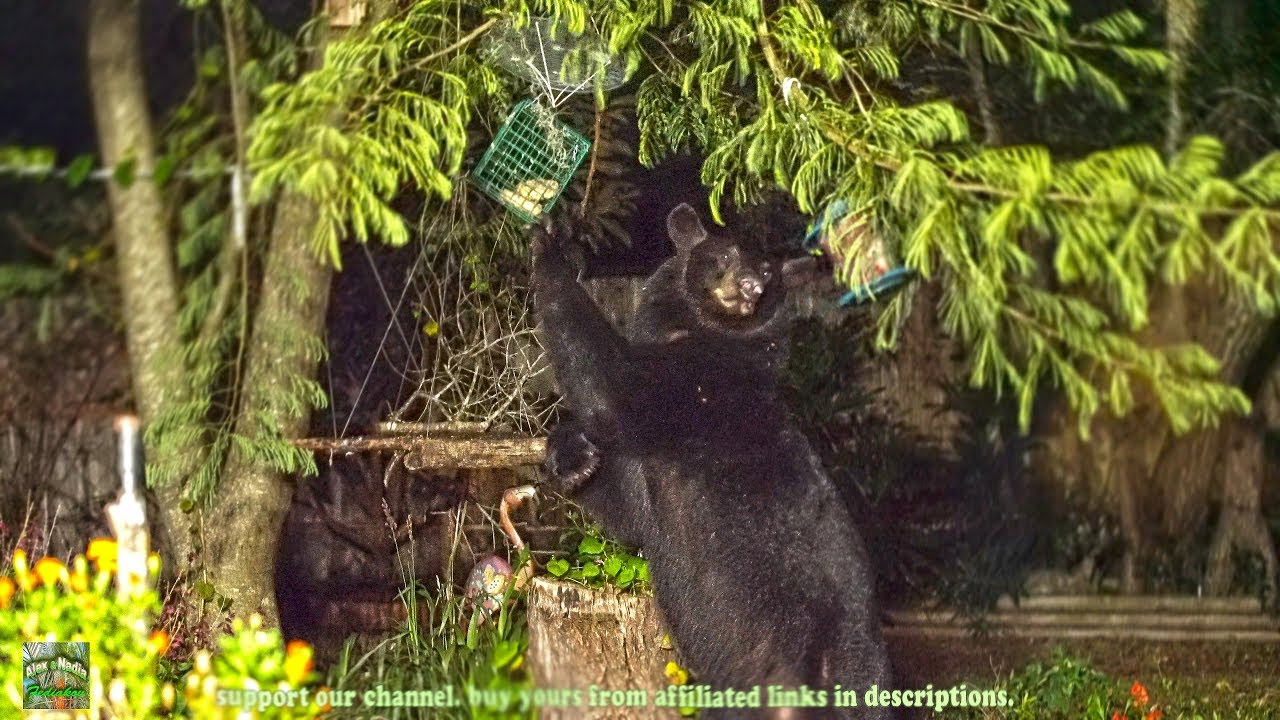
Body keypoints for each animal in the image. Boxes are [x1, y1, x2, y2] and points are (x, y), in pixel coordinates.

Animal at [531, 198, 893, 720]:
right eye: (723, 254)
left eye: (768, 271)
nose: (750, 287)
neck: (708, 336)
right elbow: (627, 512)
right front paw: (573, 457)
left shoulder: (698, 390)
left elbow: (616, 389)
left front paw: (553, 250)